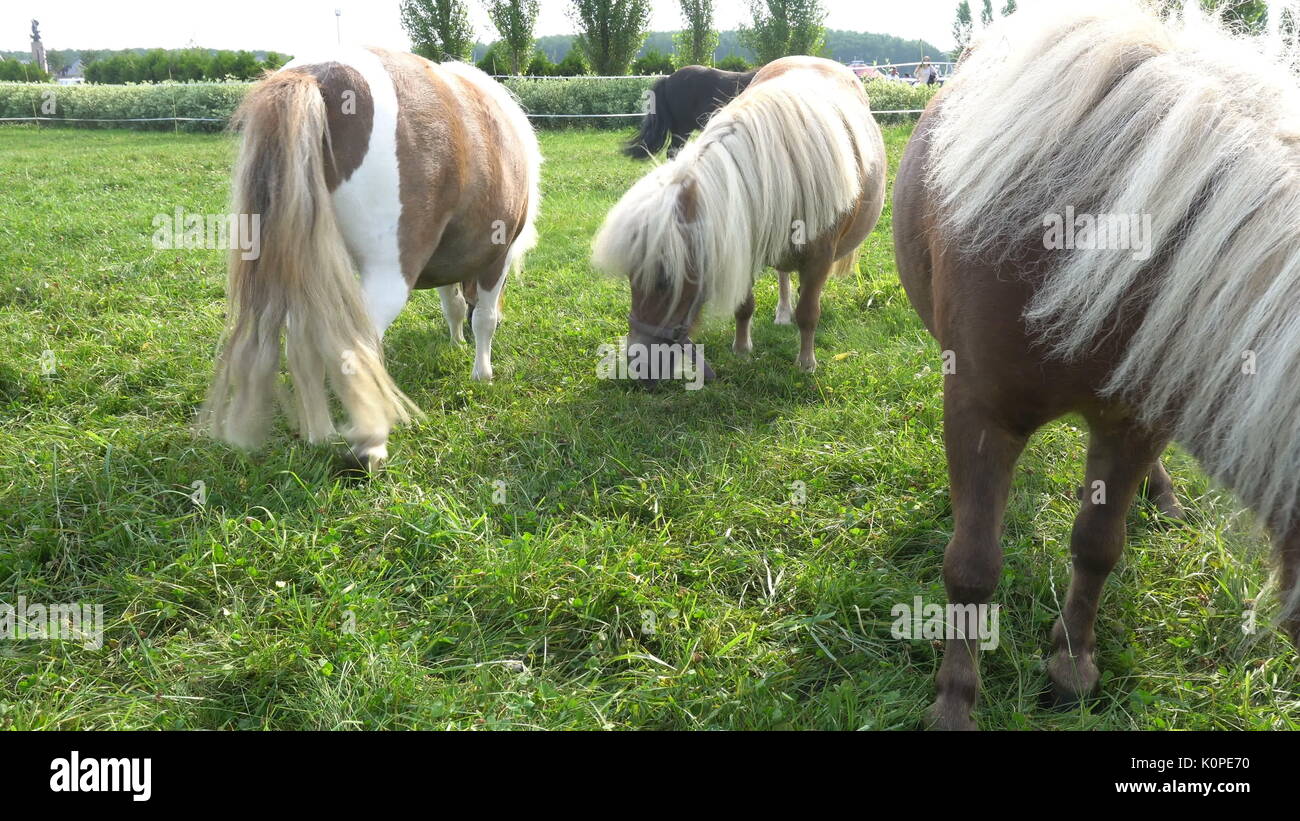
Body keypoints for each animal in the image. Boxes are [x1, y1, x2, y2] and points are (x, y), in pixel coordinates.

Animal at [198, 47, 540, 471]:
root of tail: (317, 75)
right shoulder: (499, 257)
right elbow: (484, 319)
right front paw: (482, 372)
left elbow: (454, 306)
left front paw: (456, 342)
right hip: (385, 278)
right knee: (355, 348)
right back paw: (369, 446)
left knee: (303, 346)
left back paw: (321, 434)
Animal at [893, 1, 1300, 730]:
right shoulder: (977, 411)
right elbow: (971, 562)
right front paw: (955, 698)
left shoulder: (1134, 422)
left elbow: (1097, 543)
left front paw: (1070, 660)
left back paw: (1163, 497)